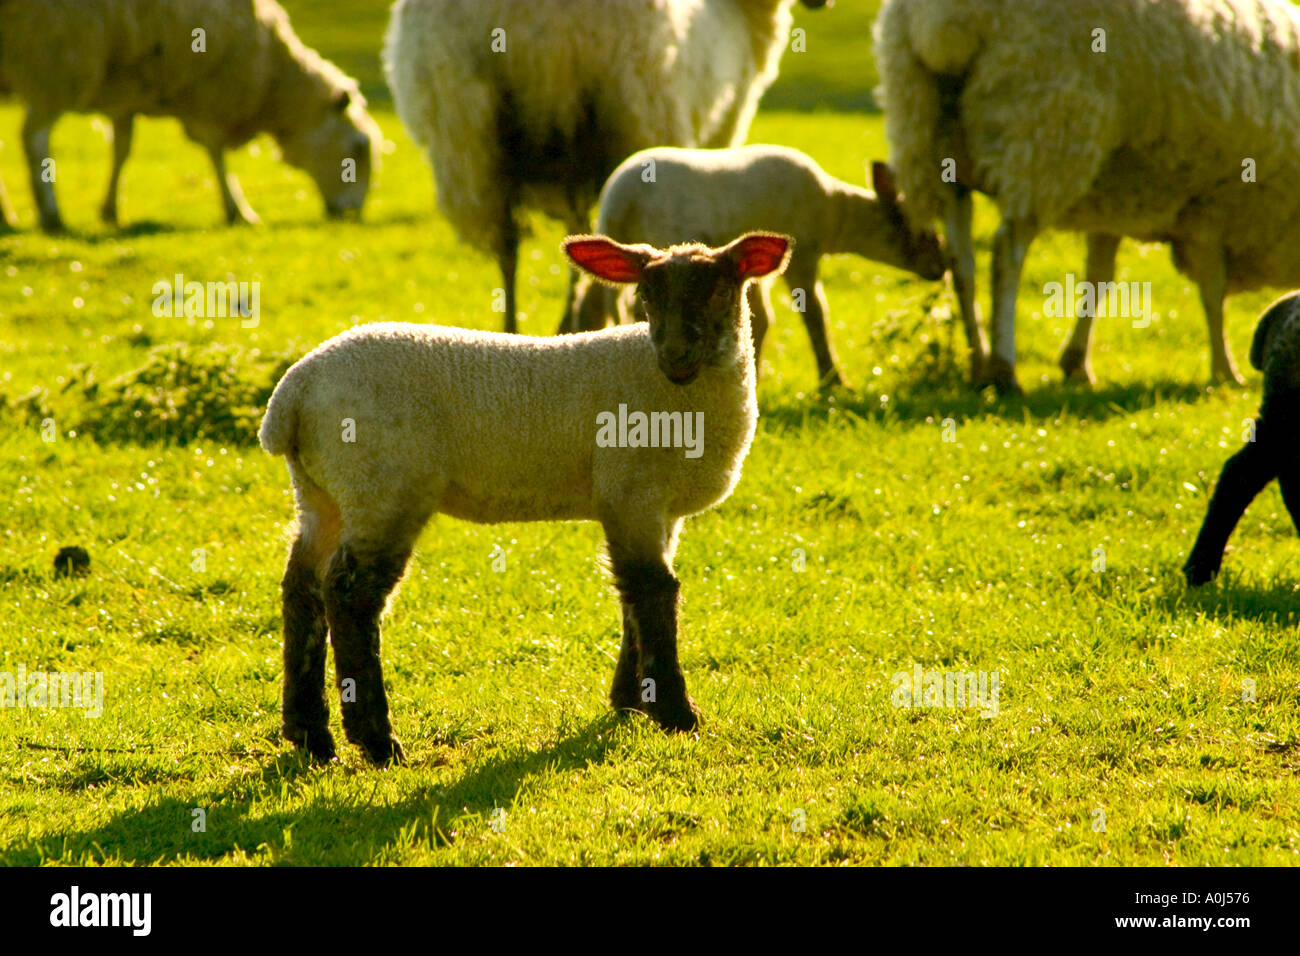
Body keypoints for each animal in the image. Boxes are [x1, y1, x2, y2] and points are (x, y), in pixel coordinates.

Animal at [0, 0, 380, 232]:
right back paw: (50, 214)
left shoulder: (126, 92)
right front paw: (238, 210)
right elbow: (215, 152)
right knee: (33, 138)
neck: (271, 79)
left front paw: (110, 209)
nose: (353, 212)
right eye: (358, 147)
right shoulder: (210, 87)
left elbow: (122, 149)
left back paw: (8, 216)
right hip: (60, 55)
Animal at [258, 231, 792, 764]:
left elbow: (634, 595)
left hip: (322, 493)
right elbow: (655, 591)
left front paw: (630, 700)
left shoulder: (651, 507)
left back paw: (309, 734)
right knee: (350, 597)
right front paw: (675, 712)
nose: (676, 357)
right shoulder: (631, 490)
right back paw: (376, 740)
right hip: (382, 487)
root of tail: (294, 394)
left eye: (719, 289)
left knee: (303, 589)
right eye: (646, 294)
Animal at [383, 0, 829, 334]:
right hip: (636, 112)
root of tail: (534, 26)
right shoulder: (723, 130)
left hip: (468, 133)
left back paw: (513, 329)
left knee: (508, 244)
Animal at [569, 145, 947, 388]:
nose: (940, 269)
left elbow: (762, 320)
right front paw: (833, 381)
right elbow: (816, 316)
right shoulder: (803, 256)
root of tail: (618, 201)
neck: (836, 215)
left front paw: (756, 375)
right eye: (923, 234)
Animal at [874, 0, 1300, 394]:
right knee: (1006, 254)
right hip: (1041, 132)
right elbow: (1212, 293)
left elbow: (1099, 278)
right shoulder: (1210, 205)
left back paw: (978, 363)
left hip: (931, 139)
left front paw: (1076, 363)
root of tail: (945, 22)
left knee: (961, 263)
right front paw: (1225, 371)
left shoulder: (1115, 199)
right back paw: (1004, 369)